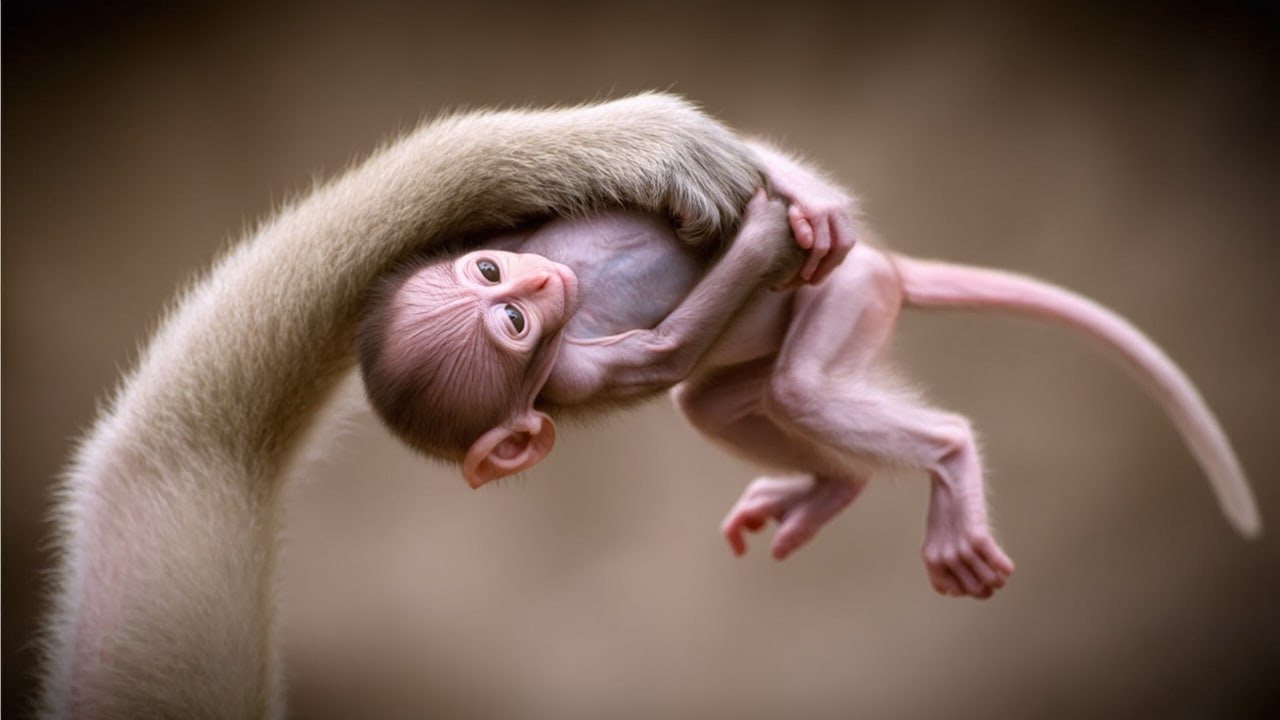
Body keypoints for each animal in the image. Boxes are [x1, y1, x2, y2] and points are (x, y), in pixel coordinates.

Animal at [360, 140, 1262, 601]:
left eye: (489, 273)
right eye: (511, 325)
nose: (540, 286)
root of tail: (890, 269)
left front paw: (787, 195)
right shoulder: (570, 377)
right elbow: (661, 355)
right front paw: (763, 234)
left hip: (847, 281)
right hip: (849, 306)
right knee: (763, 396)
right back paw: (889, 471)